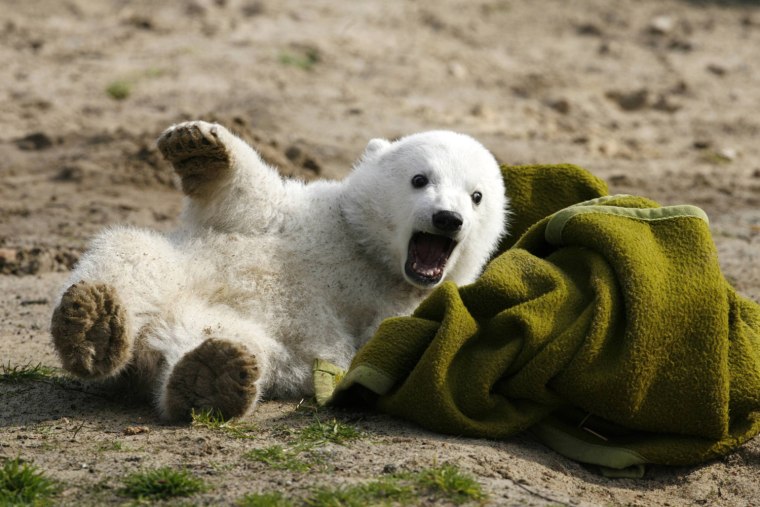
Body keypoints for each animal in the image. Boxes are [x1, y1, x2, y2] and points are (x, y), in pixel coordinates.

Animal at [50, 121, 508, 420]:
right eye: (419, 178)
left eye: (477, 196)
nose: (448, 218)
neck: (374, 260)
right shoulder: (316, 217)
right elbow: (254, 200)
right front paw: (197, 144)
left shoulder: (405, 304)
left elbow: (389, 342)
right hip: (172, 266)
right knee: (130, 254)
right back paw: (93, 322)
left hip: (236, 331)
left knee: (222, 340)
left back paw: (210, 375)